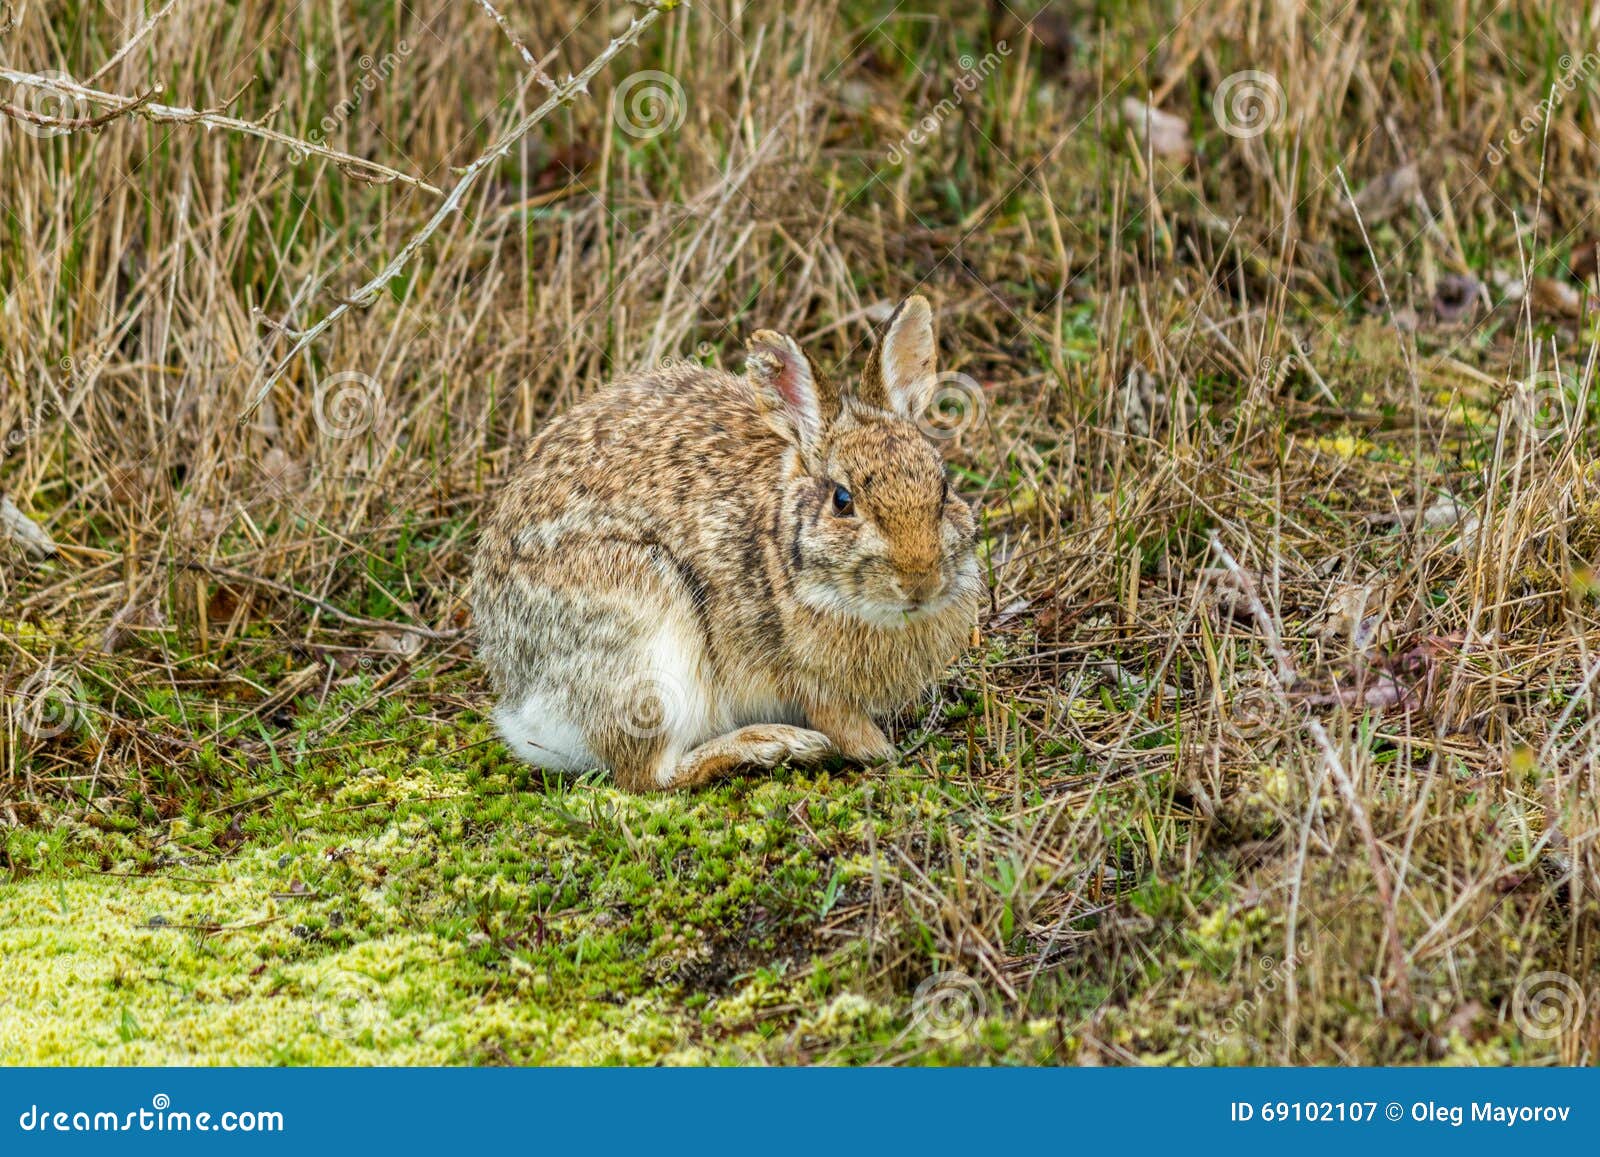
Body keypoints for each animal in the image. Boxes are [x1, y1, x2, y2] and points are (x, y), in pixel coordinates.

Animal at [471, 295, 981, 791]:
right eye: (842, 500)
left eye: (943, 489)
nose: (920, 582)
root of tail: (522, 701)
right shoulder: (806, 680)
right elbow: (837, 717)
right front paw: (877, 750)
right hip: (648, 635)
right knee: (647, 776)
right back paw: (772, 745)